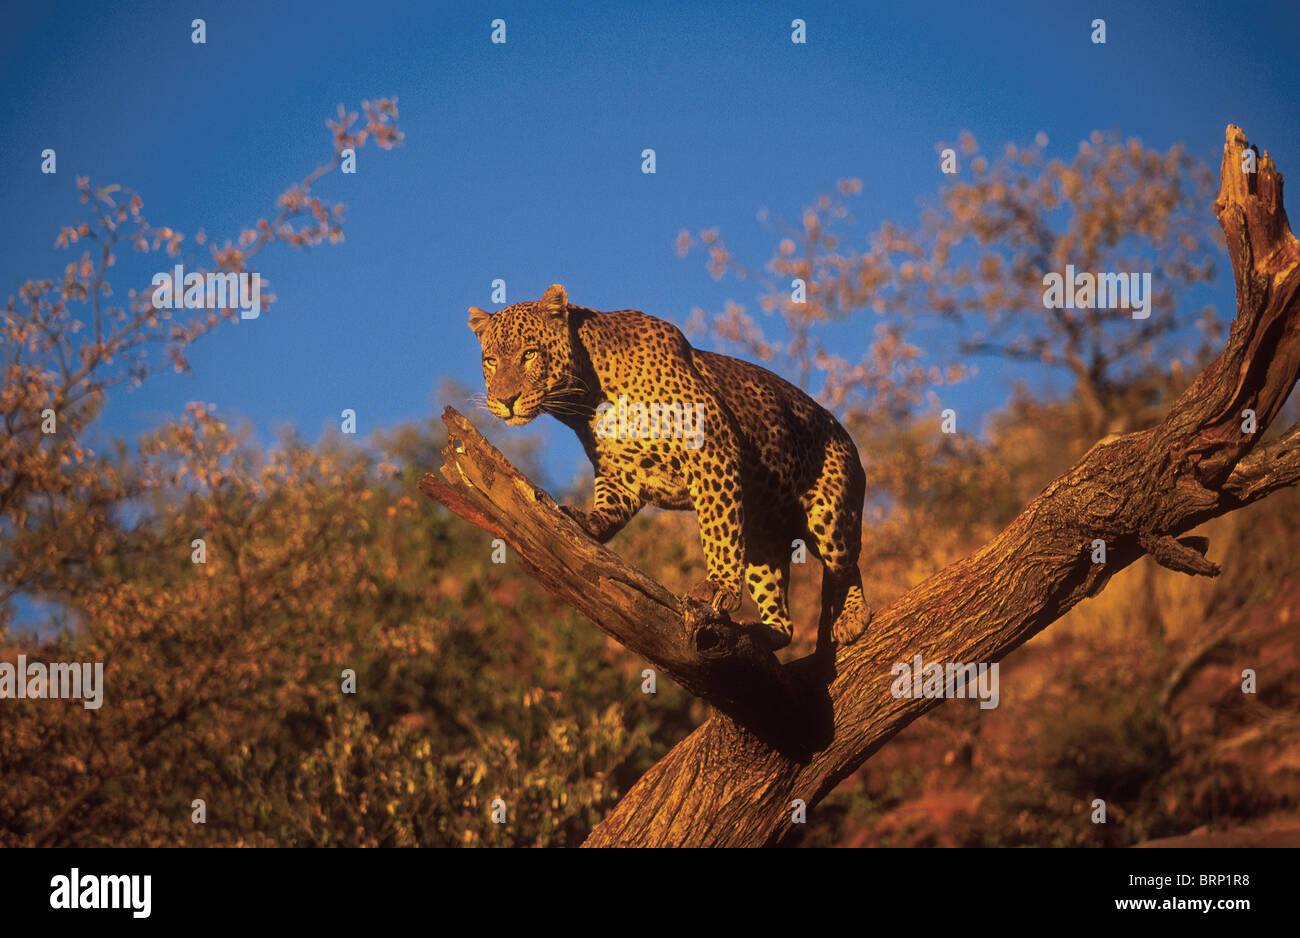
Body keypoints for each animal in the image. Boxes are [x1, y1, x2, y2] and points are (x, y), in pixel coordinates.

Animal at [468, 283, 871, 649]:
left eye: (529, 354)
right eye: (490, 362)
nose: (505, 400)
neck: (585, 399)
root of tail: (846, 435)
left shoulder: (713, 451)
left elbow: (718, 531)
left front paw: (717, 586)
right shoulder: (621, 476)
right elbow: (610, 507)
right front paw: (588, 521)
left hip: (830, 513)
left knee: (846, 564)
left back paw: (851, 618)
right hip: (764, 536)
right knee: (784, 621)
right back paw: (762, 632)